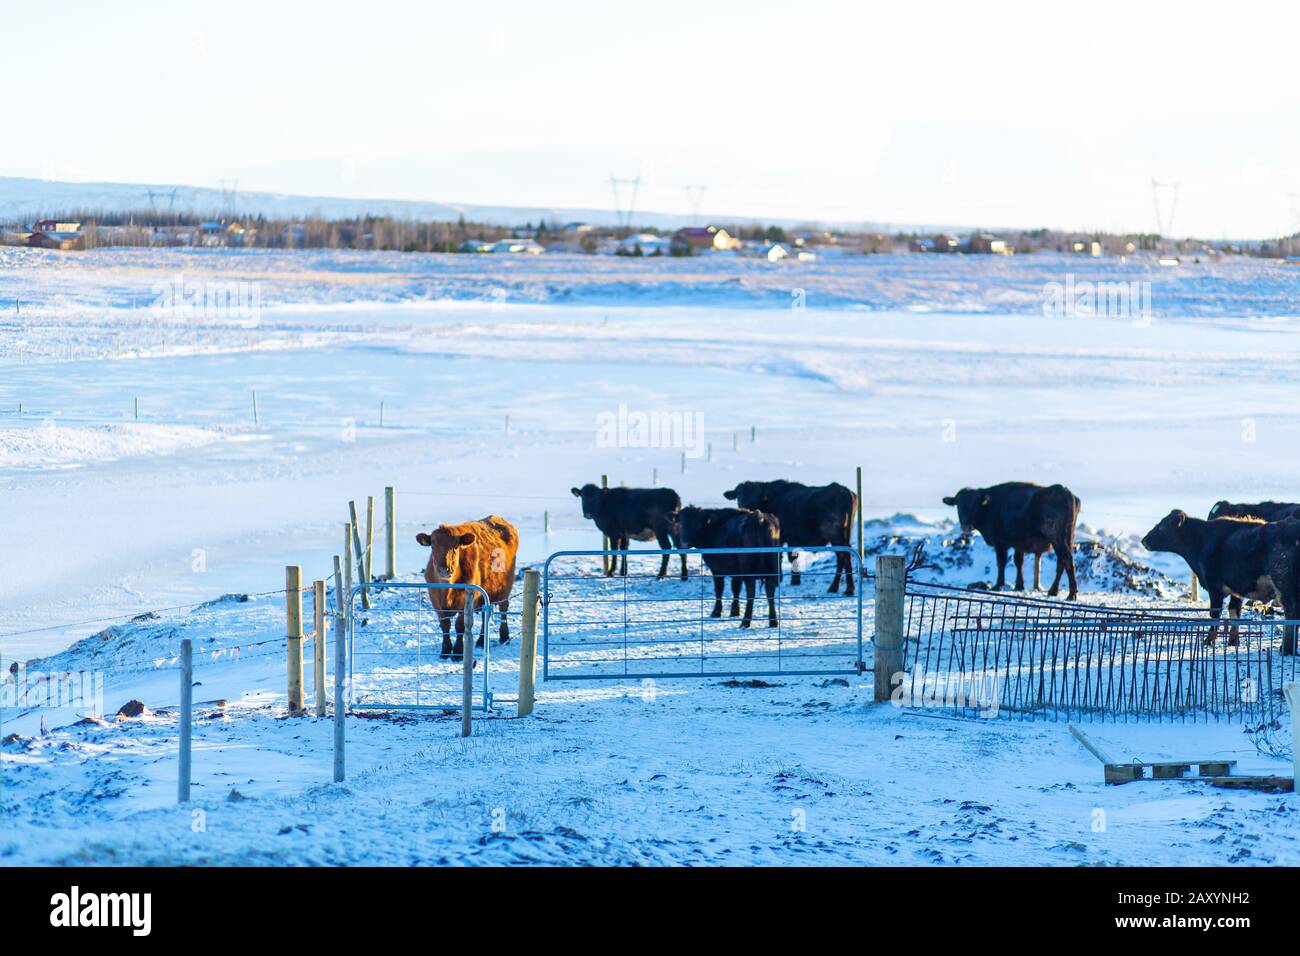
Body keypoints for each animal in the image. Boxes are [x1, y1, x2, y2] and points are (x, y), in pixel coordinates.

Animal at [414, 515, 520, 660]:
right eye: (433, 546)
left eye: (456, 546)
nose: (444, 569)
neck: (447, 590)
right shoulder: (435, 599)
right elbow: (445, 624)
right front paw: (445, 650)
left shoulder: (467, 598)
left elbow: (460, 625)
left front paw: (458, 652)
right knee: (485, 615)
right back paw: (481, 641)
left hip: (505, 586)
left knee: (504, 608)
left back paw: (504, 637)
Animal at [721, 480, 857, 595]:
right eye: (739, 495)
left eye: (756, 496)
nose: (746, 507)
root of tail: (845, 491)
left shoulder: (784, 538)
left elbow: (785, 557)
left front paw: (787, 580)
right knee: (843, 557)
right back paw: (840, 587)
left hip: (835, 535)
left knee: (844, 557)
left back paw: (843, 588)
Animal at [942, 482, 1081, 600]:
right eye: (958, 505)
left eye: (975, 505)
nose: (966, 526)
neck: (991, 507)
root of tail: (1065, 492)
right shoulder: (1018, 545)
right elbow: (1018, 562)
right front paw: (1019, 585)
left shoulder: (1000, 543)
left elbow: (1001, 562)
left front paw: (998, 585)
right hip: (1068, 538)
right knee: (1062, 562)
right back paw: (1054, 591)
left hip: (1057, 538)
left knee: (1066, 559)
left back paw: (1071, 594)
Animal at [1142, 510, 1300, 653]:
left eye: (1161, 527)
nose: (1144, 540)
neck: (1201, 540)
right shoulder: (1237, 589)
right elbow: (1234, 612)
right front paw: (1233, 641)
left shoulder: (1214, 586)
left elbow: (1215, 614)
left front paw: (1208, 640)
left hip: (1283, 584)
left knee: (1291, 612)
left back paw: (1286, 649)